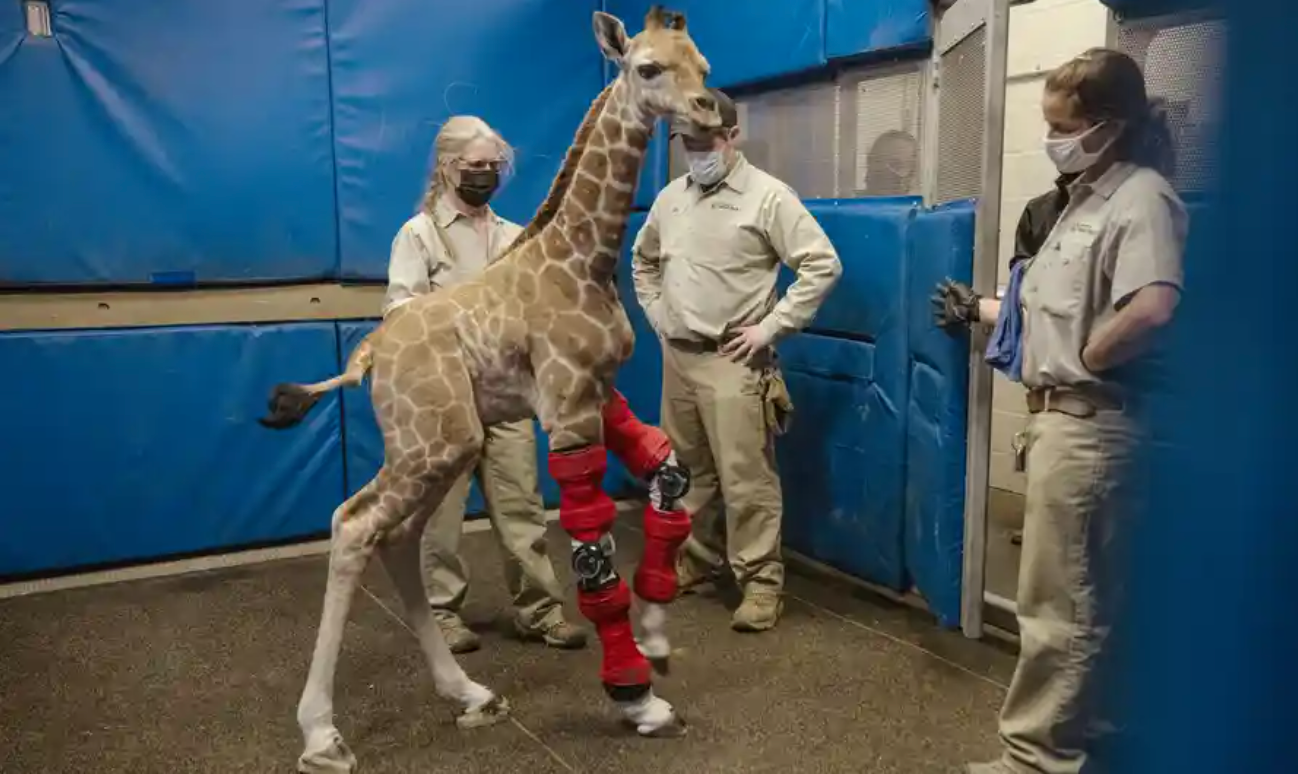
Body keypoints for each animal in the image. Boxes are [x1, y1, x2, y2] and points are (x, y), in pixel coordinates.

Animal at [257, 7, 721, 773]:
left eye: (703, 64)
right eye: (649, 67)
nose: (716, 111)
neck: (582, 259)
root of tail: (369, 355)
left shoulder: (599, 394)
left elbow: (669, 478)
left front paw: (656, 638)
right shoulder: (567, 410)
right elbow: (593, 560)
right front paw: (639, 699)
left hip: (447, 447)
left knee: (397, 537)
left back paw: (468, 692)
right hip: (433, 441)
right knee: (354, 523)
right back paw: (322, 736)